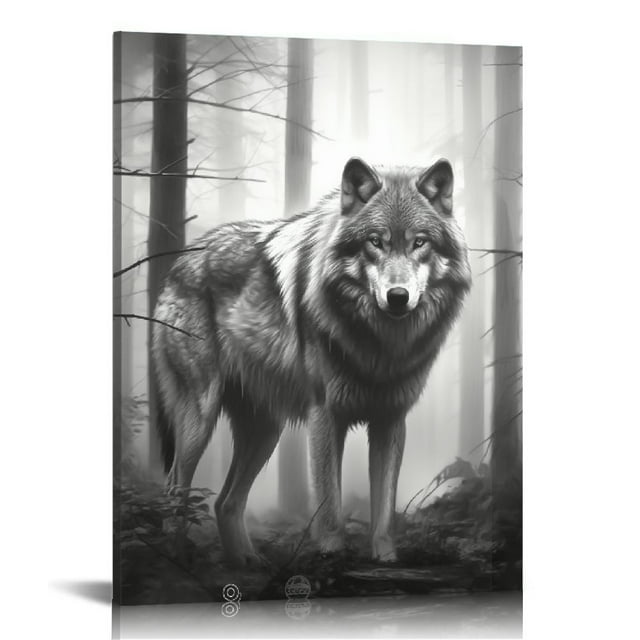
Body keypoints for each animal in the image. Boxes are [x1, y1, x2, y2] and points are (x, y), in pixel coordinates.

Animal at [151, 157, 471, 566]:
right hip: (200, 419)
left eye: (420, 243)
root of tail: (180, 261)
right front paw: (332, 557)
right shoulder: (325, 414)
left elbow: (383, 509)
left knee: (225, 502)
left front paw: (385, 560)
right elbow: (330, 503)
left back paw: (248, 563)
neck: (380, 346)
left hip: (266, 429)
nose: (398, 297)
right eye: (375, 242)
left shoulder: (390, 419)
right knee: (173, 488)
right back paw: (176, 559)